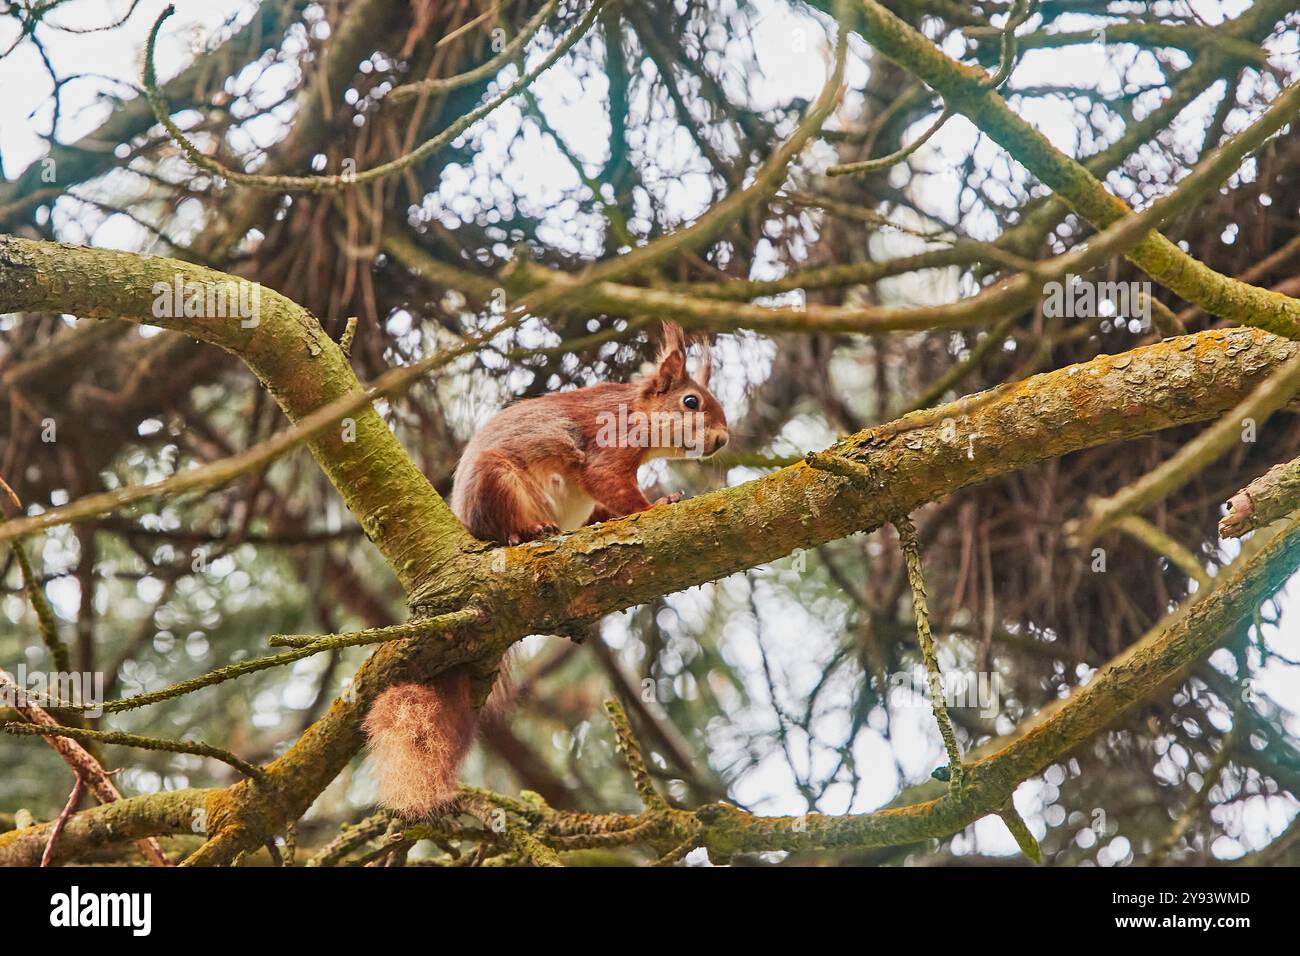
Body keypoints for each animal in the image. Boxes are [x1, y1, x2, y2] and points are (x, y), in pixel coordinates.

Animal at [364, 322, 728, 816]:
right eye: (691, 402)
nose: (723, 440)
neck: (635, 411)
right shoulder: (608, 447)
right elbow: (612, 484)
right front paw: (658, 503)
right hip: (497, 482)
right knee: (505, 526)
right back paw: (528, 531)